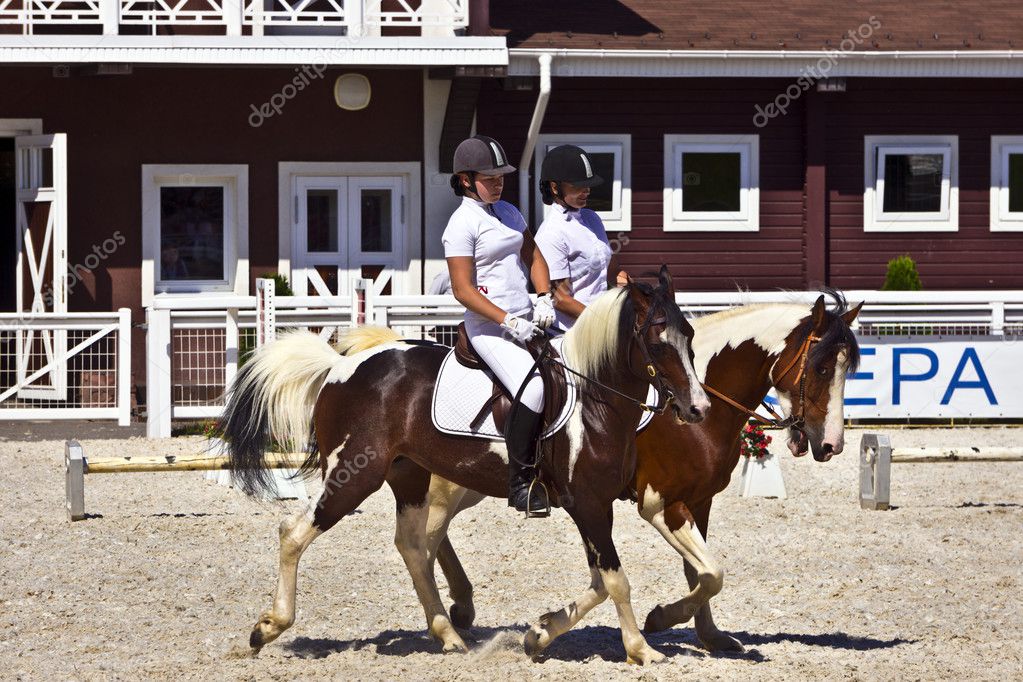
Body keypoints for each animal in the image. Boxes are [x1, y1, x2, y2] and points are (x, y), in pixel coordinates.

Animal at [220, 266, 712, 666]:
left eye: (689, 336)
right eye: (657, 343)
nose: (699, 409)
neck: (596, 399)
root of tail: (339, 368)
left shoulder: (595, 506)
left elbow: (599, 581)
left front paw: (540, 634)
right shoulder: (587, 503)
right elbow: (615, 581)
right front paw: (640, 649)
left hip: (409, 476)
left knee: (413, 547)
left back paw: (449, 635)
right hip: (354, 475)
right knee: (294, 532)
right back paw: (268, 627)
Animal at [347, 291, 861, 658]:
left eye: (847, 370)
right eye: (819, 368)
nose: (830, 445)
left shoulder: (698, 501)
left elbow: (699, 572)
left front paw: (710, 635)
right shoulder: (660, 504)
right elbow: (710, 572)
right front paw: (659, 620)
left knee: (433, 541)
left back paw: (460, 607)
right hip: (446, 486)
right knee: (423, 542)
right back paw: (450, 621)